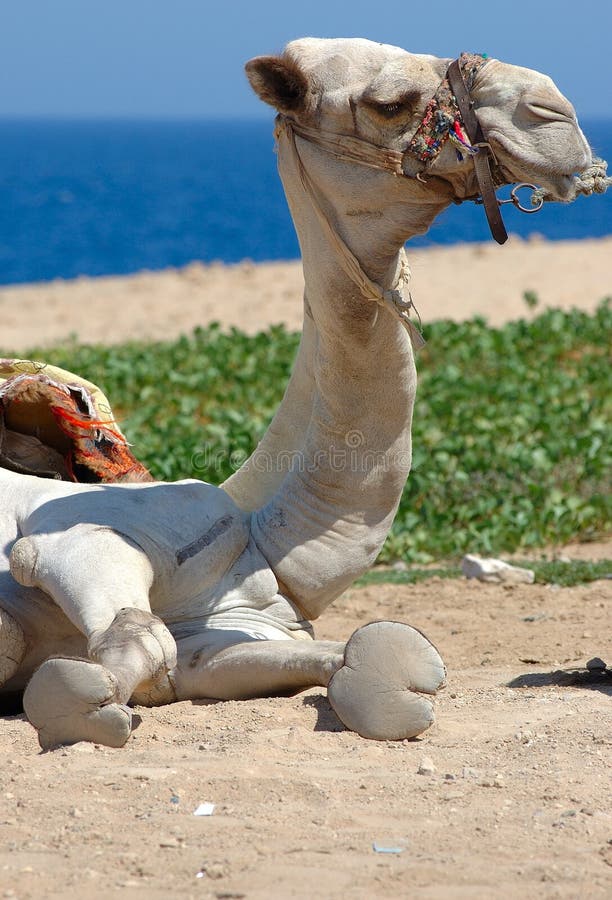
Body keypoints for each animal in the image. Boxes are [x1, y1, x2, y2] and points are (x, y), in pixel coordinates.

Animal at [0, 38, 606, 751]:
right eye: (389, 103)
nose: (554, 112)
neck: (260, 534)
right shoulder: (86, 539)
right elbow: (126, 633)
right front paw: (80, 705)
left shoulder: (225, 642)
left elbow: (357, 656)